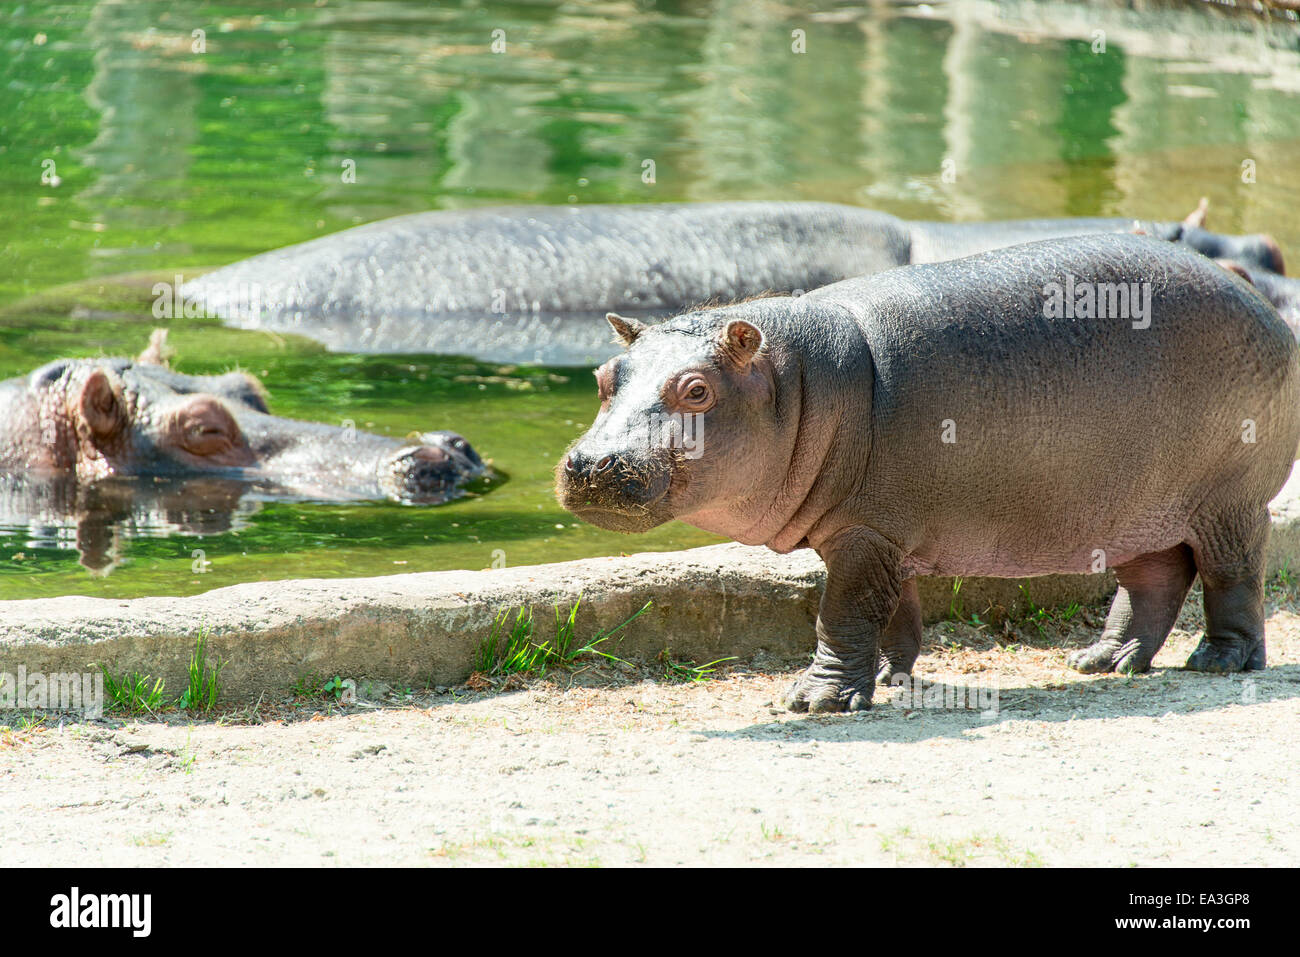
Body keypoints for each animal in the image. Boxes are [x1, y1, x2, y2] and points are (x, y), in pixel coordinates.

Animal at [556, 234, 1300, 712]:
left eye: (698, 390)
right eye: (603, 377)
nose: (592, 463)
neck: (800, 381)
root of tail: (1259, 300)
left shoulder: (865, 533)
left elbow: (842, 612)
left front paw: (814, 699)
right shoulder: (884, 534)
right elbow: (891, 611)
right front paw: (889, 676)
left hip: (1229, 502)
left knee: (1233, 575)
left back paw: (1218, 661)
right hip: (1134, 508)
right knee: (1153, 579)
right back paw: (1102, 662)